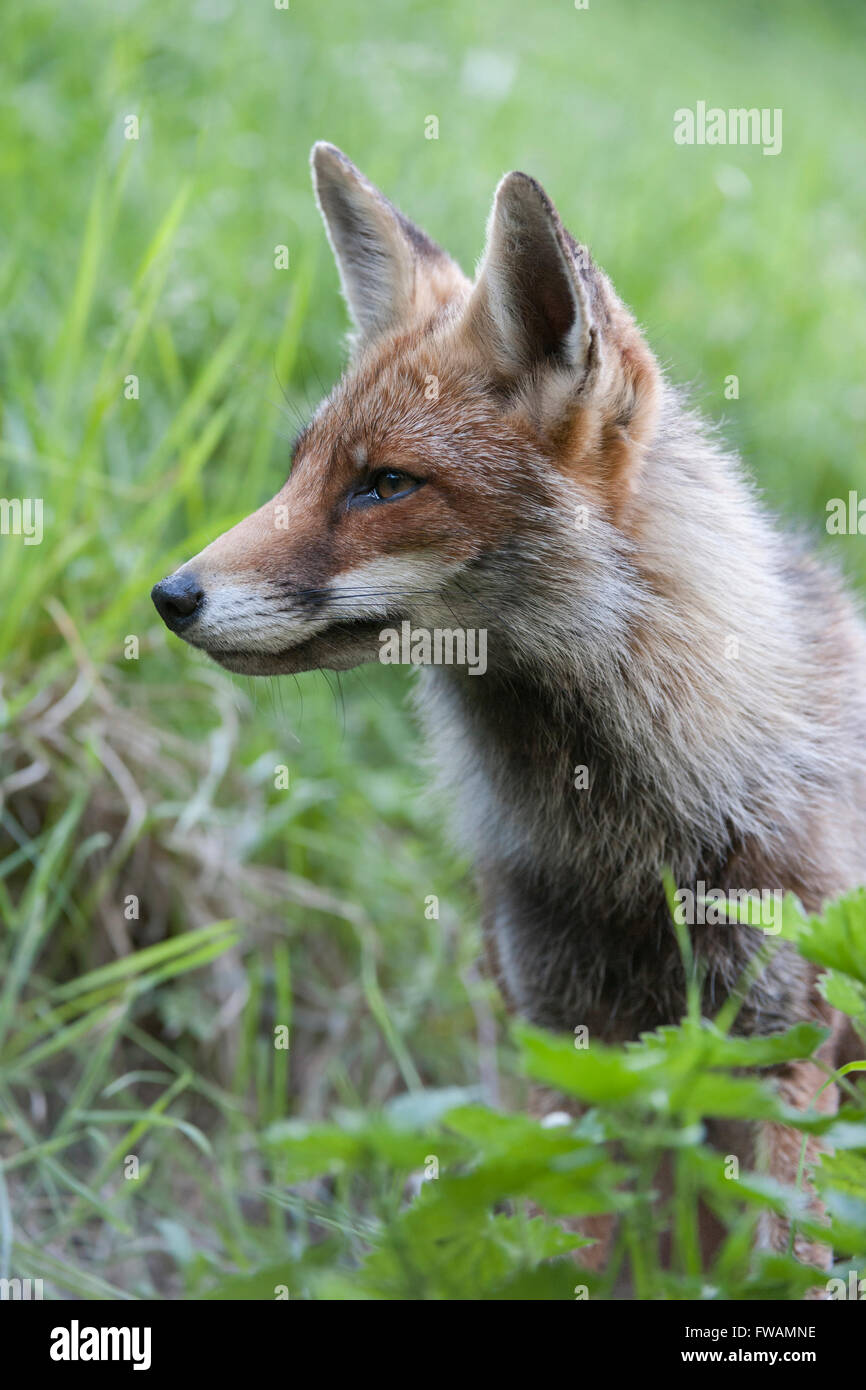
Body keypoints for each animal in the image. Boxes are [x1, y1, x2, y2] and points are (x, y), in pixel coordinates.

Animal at [152, 143, 866, 1275]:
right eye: (299, 468)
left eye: (384, 485)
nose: (170, 597)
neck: (627, 838)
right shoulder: (569, 1051)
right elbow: (552, 1248)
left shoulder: (787, 1053)